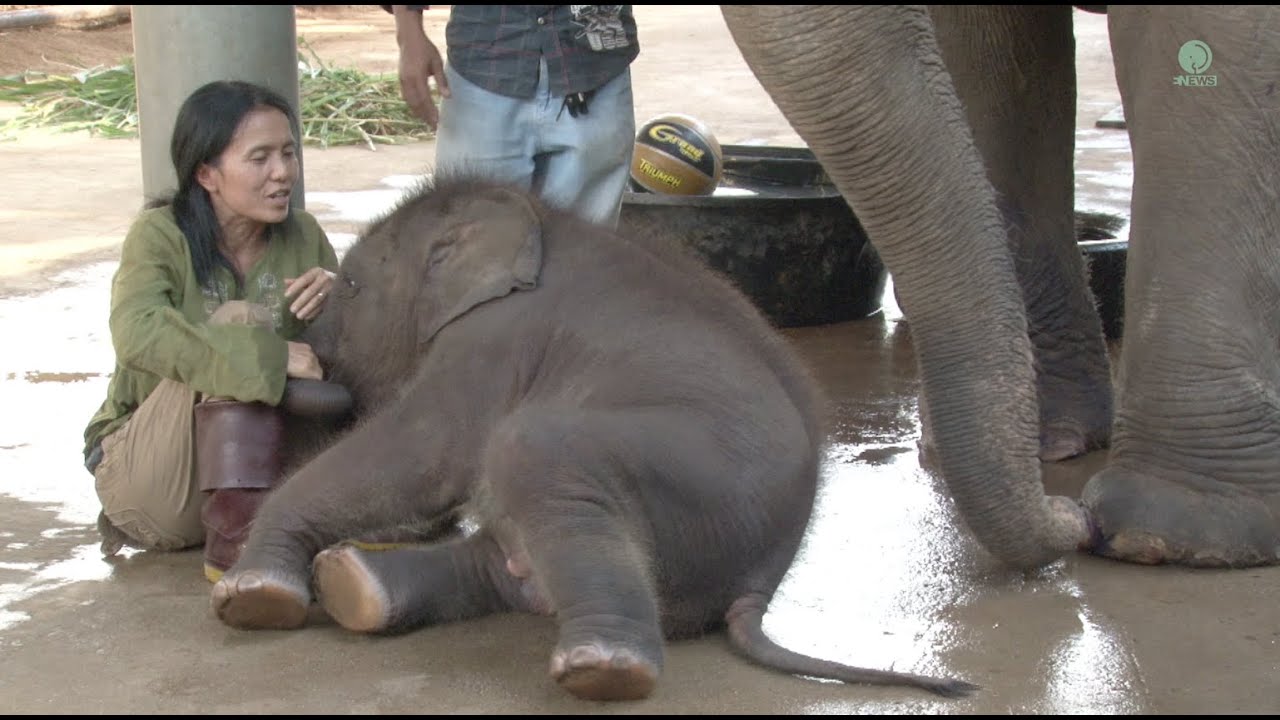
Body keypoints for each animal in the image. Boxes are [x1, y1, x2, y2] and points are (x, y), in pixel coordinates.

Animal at [208, 176, 979, 701]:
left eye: (351, 285)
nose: (302, 356)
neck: (530, 213)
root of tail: (762, 582)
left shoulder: (496, 339)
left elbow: (425, 453)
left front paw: (249, 594)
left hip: (701, 481)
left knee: (532, 448)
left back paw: (603, 671)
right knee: (506, 561)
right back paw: (353, 586)